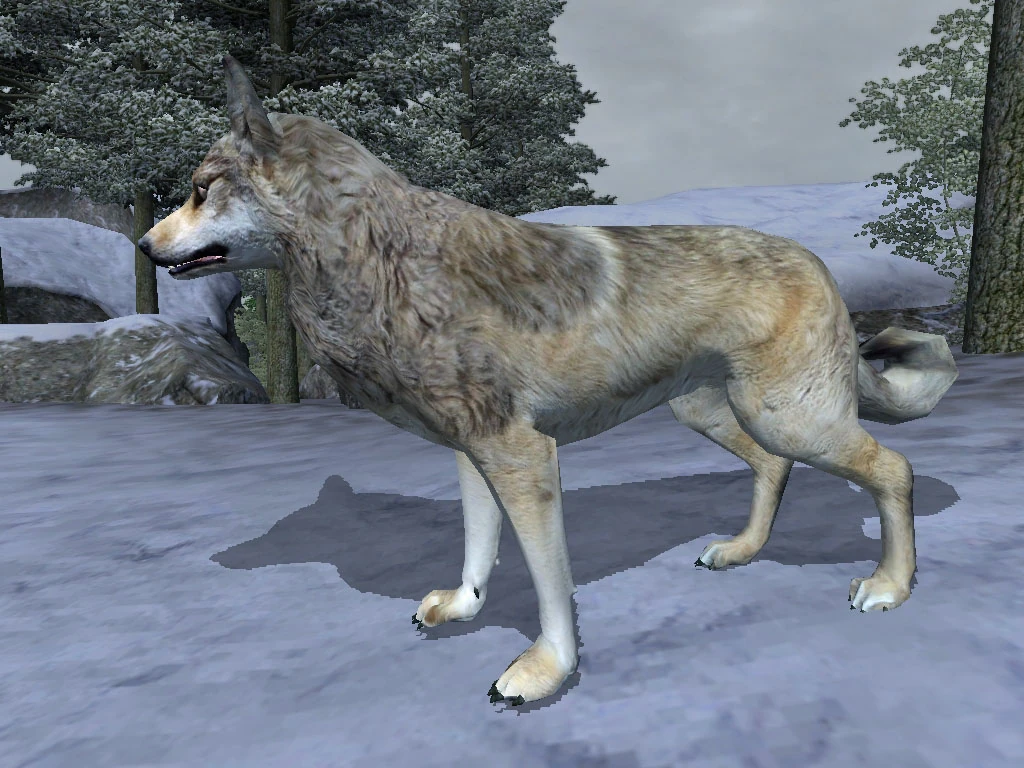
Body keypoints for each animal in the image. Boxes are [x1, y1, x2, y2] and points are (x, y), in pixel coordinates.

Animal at [139, 56, 958, 706]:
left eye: (199, 190)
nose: (145, 246)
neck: (384, 261)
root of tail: (818, 263)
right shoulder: (473, 450)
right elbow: (478, 545)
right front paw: (464, 606)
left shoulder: (524, 457)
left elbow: (548, 583)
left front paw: (545, 672)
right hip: (719, 416)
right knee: (774, 467)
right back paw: (739, 552)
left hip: (789, 418)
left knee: (894, 468)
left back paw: (891, 586)